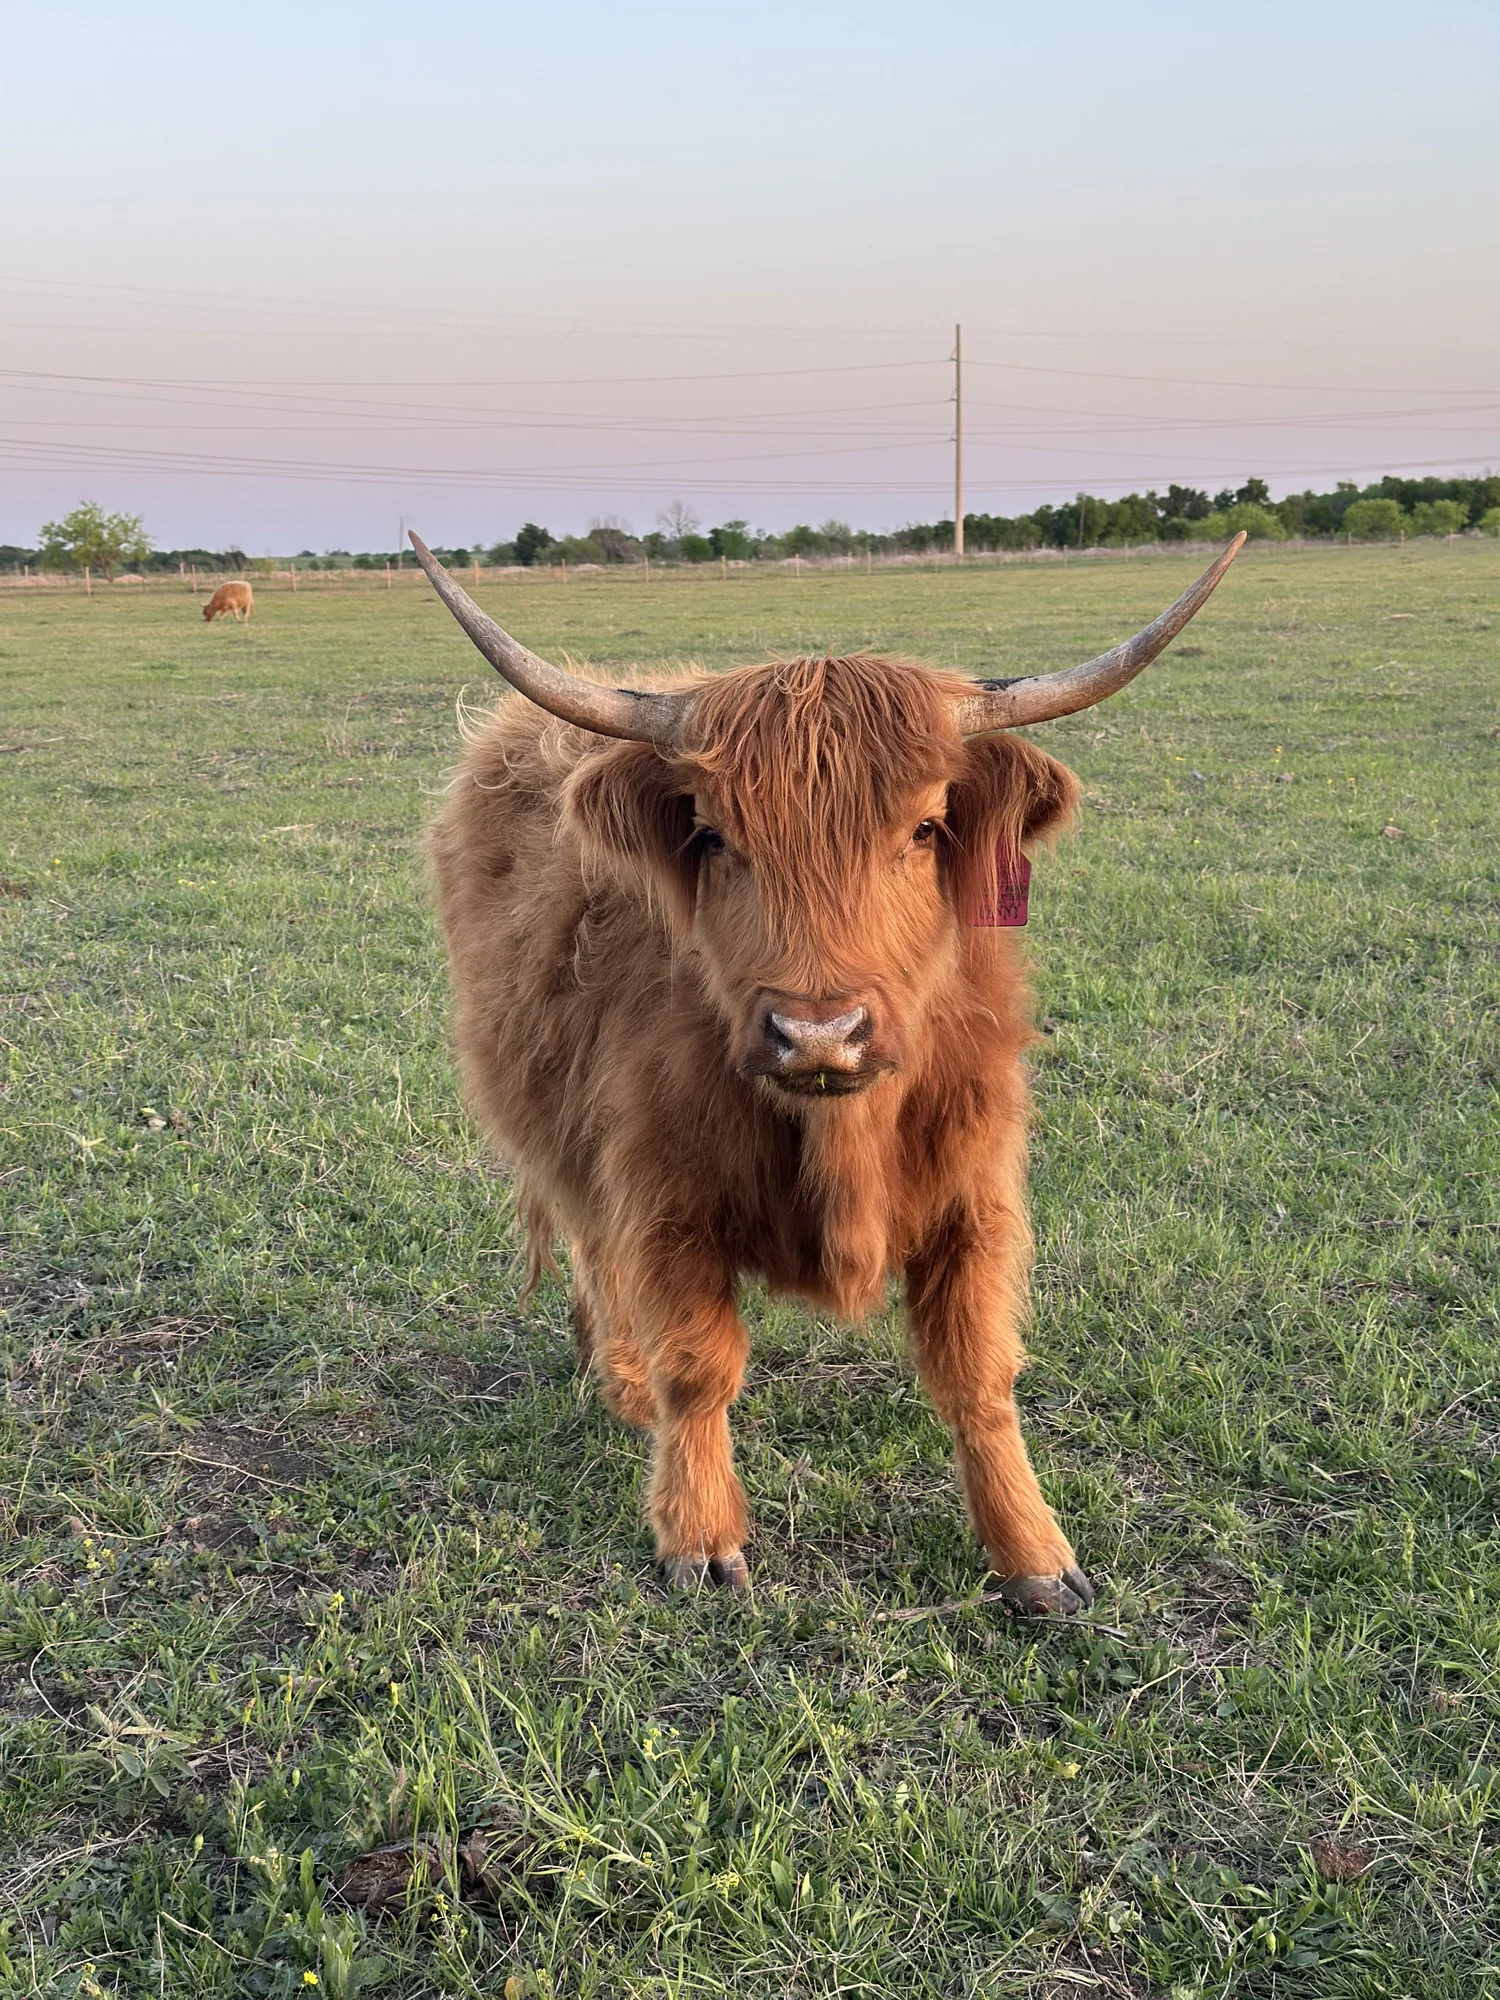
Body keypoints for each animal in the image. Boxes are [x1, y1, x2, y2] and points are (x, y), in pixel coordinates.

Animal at [417, 529, 1245, 1613]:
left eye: (926, 827)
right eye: (714, 834)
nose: (819, 1034)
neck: (841, 1137)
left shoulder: (975, 1196)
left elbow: (979, 1374)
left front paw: (1033, 1553)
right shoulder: (663, 1192)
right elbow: (700, 1366)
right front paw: (700, 1534)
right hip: (554, 1128)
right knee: (597, 1255)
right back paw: (623, 1386)